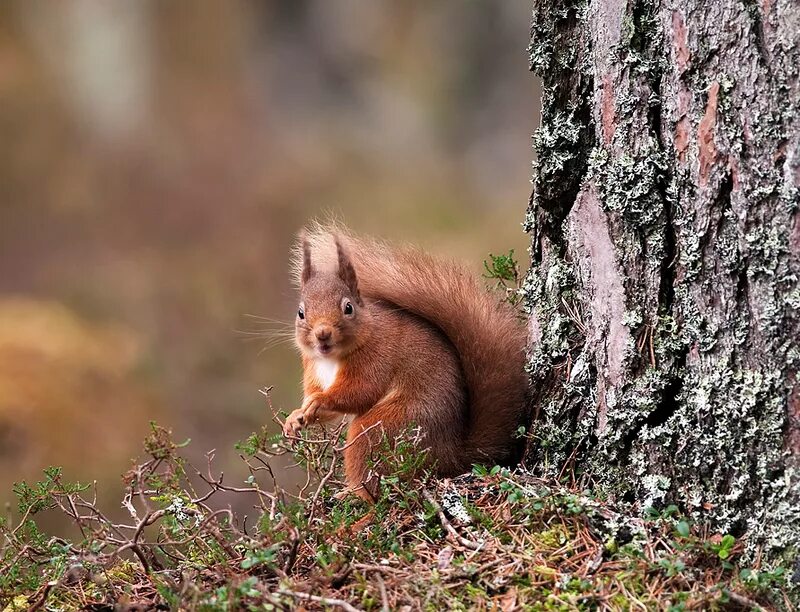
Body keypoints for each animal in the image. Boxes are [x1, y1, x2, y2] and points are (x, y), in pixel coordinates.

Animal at [284, 226, 528, 502]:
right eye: (301, 313)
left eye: (348, 308)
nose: (322, 334)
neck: (330, 359)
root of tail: (449, 458)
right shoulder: (312, 366)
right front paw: (296, 416)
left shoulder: (376, 357)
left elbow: (360, 392)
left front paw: (319, 401)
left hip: (383, 429)